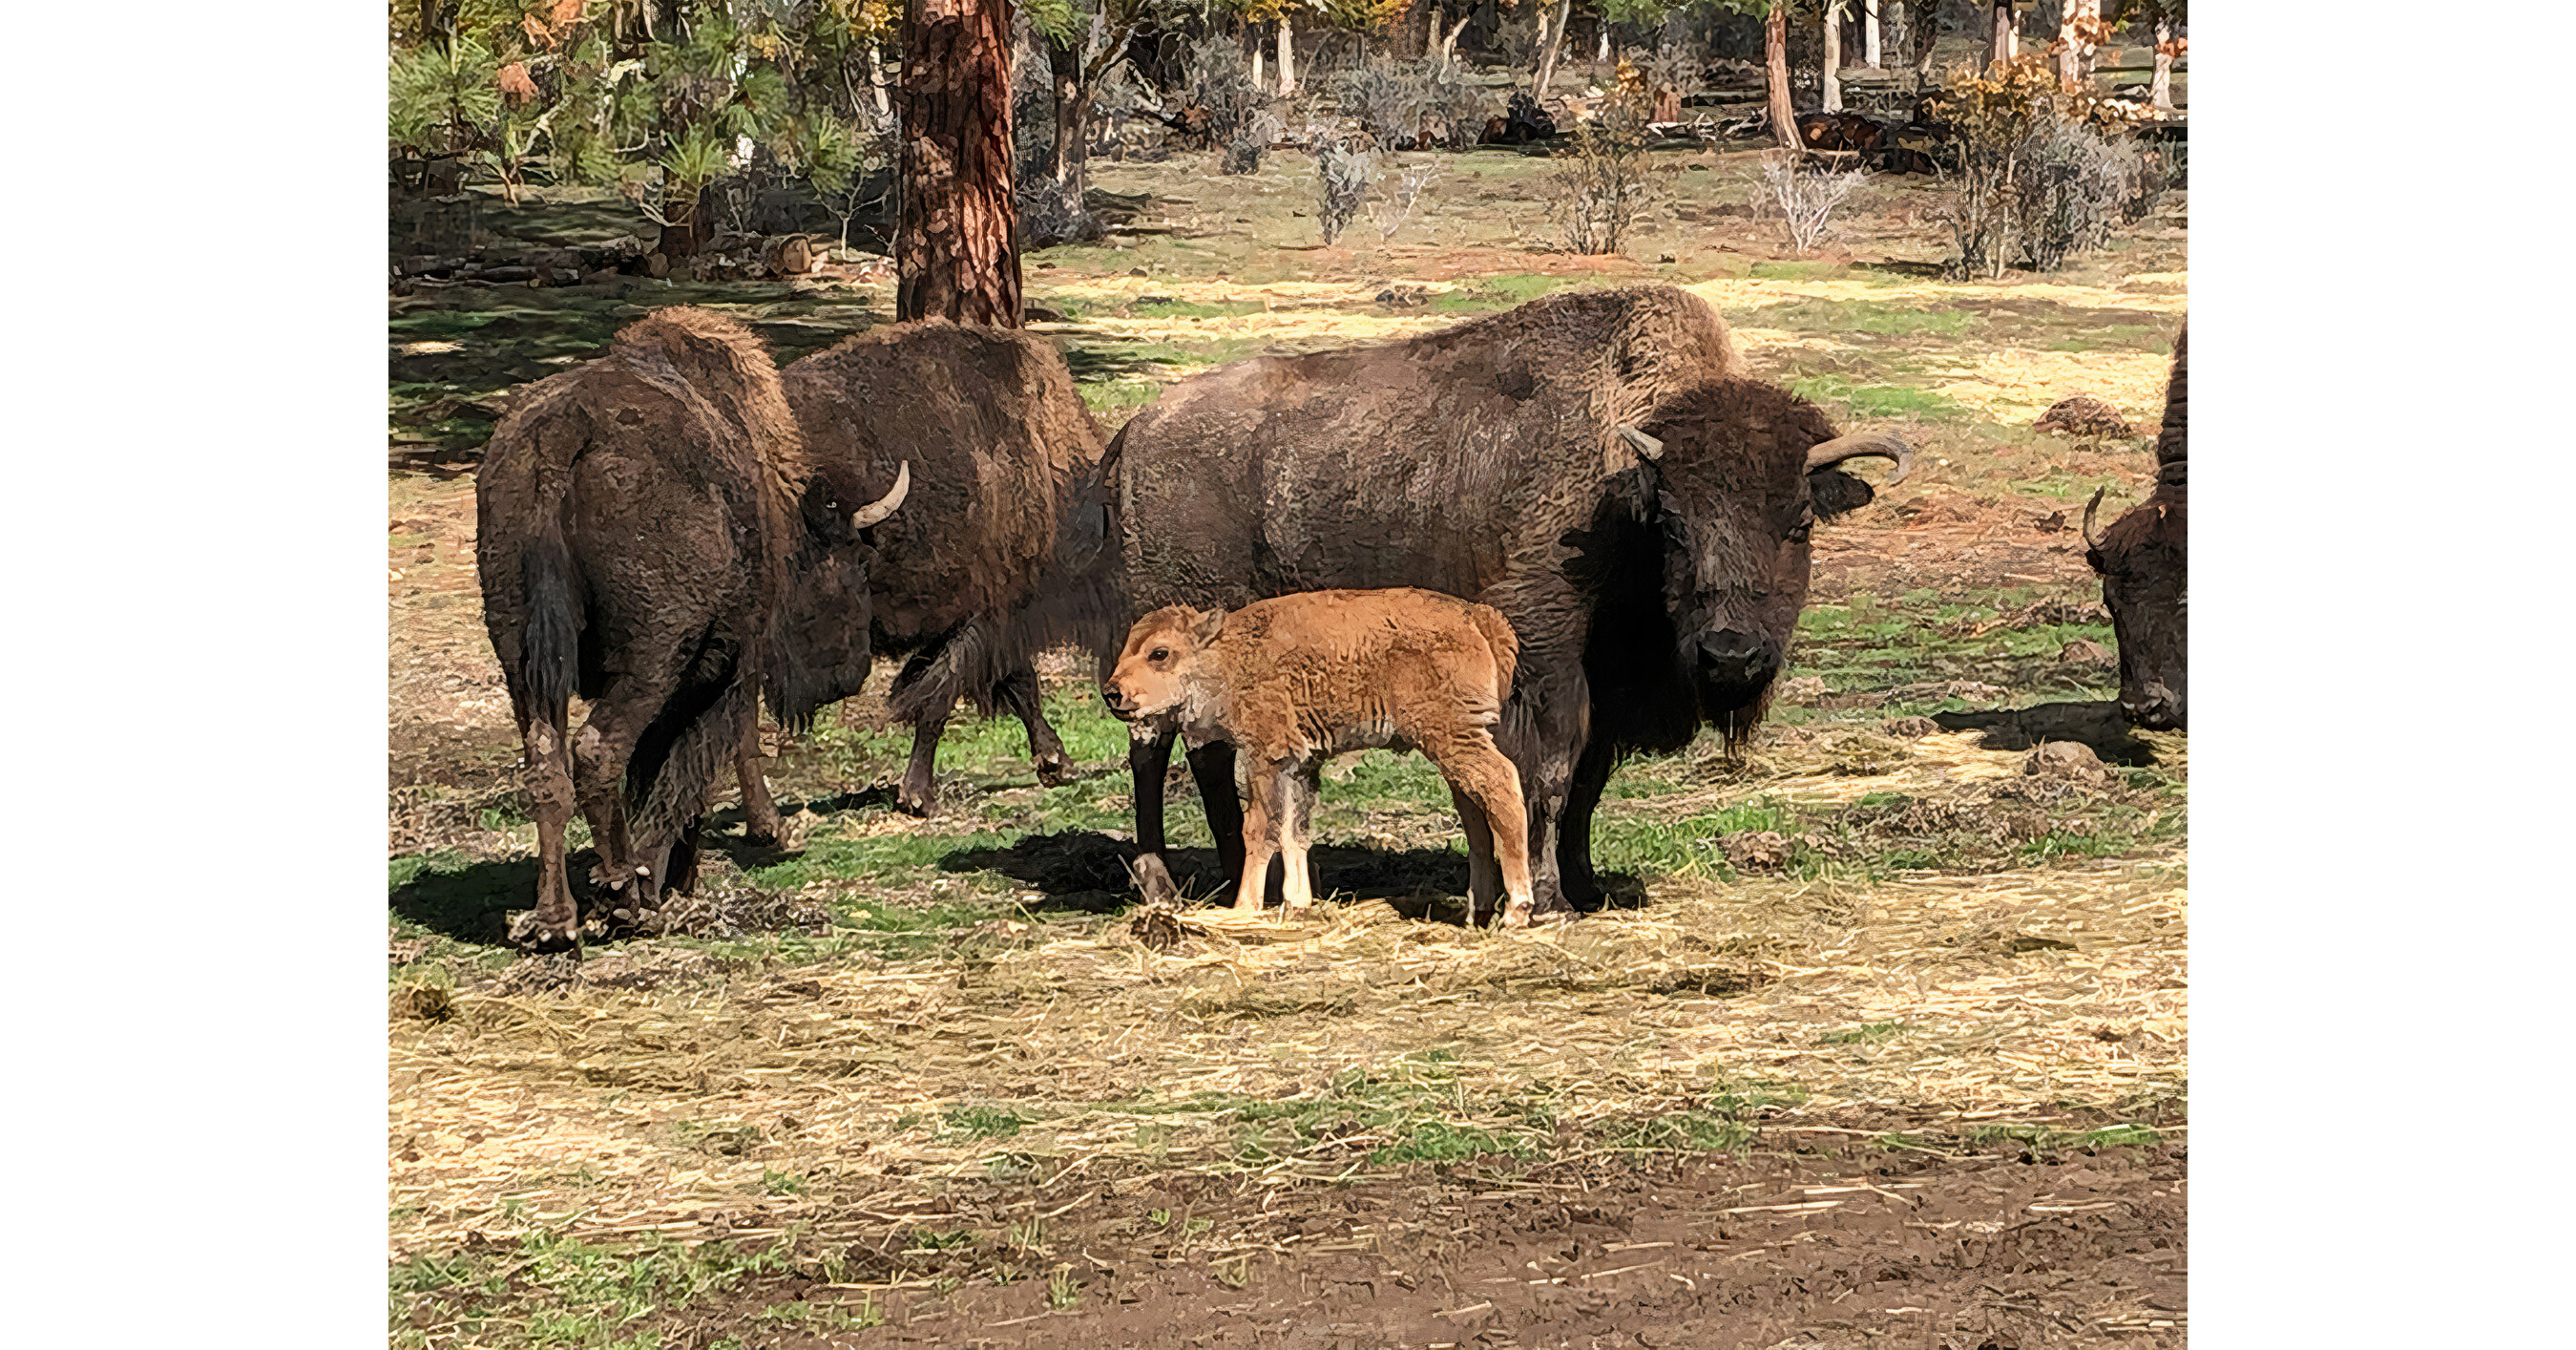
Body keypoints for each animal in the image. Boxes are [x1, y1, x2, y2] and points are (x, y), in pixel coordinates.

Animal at [475, 308, 909, 948]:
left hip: (520, 660)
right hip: (652, 661)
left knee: (546, 766)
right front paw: (737, 843)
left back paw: (558, 919)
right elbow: (710, 758)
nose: (853, 673)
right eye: (854, 561)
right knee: (598, 752)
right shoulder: (729, 665)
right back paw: (624, 893)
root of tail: (562, 434)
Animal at [1098, 285, 1910, 920]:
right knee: (1153, 748)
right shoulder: (1544, 659)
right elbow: (1545, 775)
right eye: (1674, 524)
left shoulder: (1604, 687)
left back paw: (1240, 873)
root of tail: (1139, 427)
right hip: (1168, 638)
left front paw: (1585, 886)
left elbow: (1585, 783)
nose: (1730, 654)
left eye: (1799, 522)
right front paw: (1547, 898)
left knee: (1203, 752)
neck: (1619, 488)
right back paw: (1165, 886)